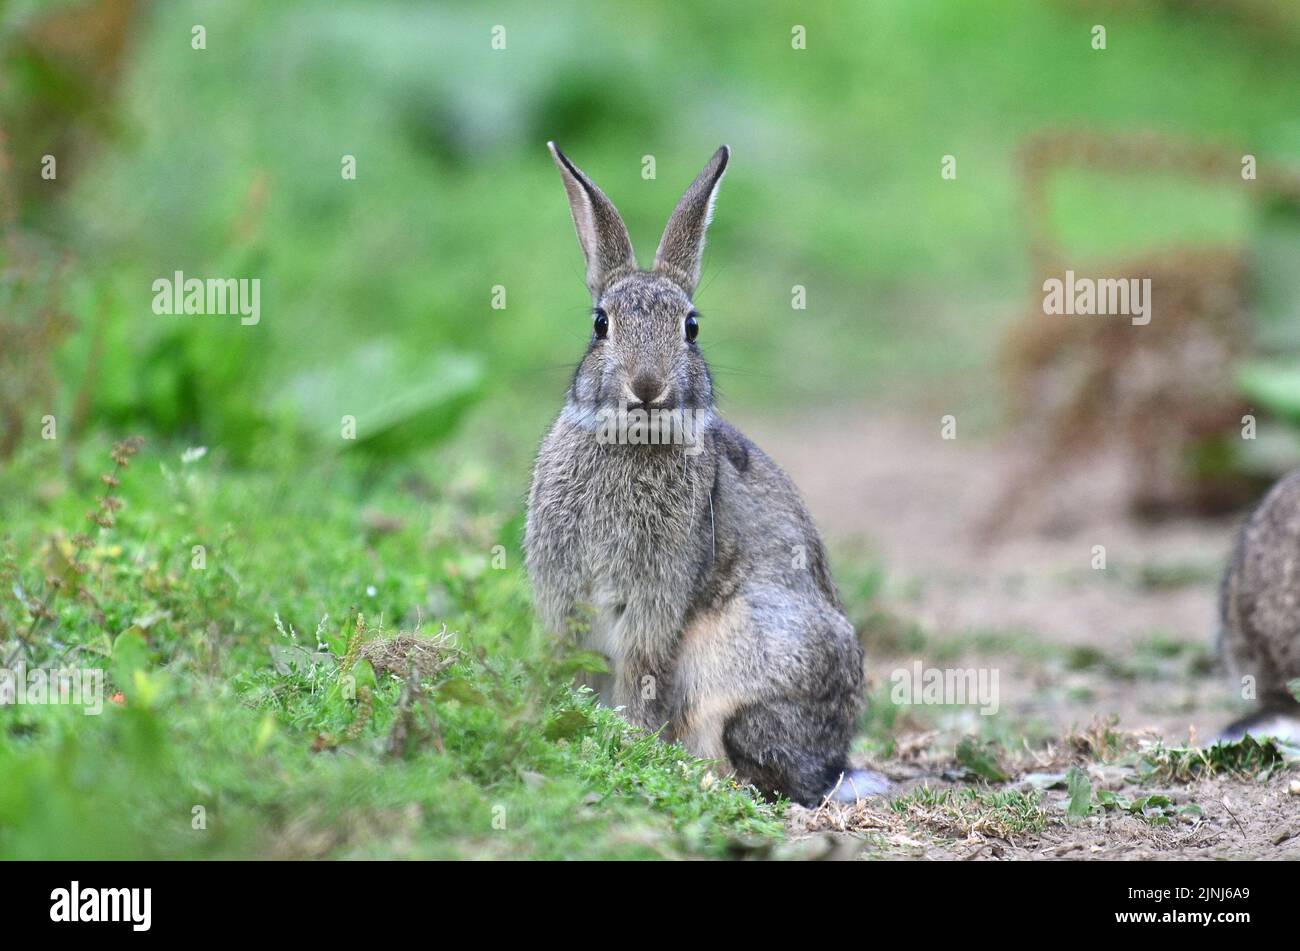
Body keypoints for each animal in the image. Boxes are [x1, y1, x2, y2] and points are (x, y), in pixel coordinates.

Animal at [524, 142, 888, 806]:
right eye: (599, 324)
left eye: (691, 327)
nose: (647, 387)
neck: (633, 444)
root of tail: (836, 765)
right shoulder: (564, 595)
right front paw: (565, 717)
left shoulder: (653, 603)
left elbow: (642, 671)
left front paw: (626, 741)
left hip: (745, 659)